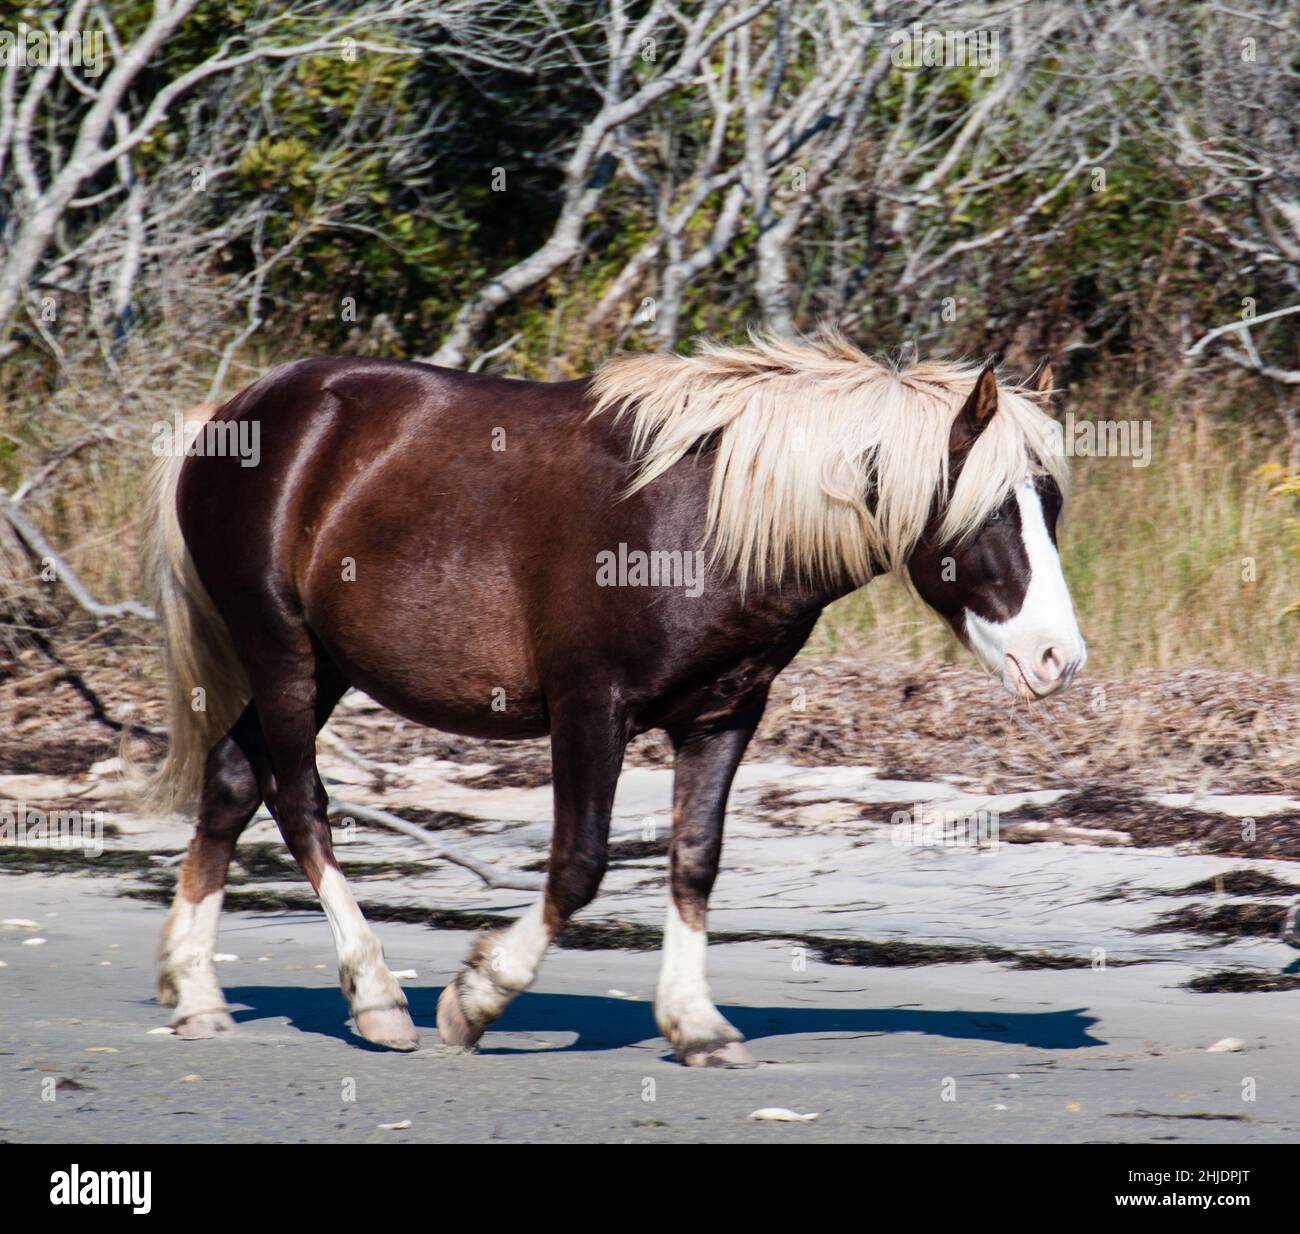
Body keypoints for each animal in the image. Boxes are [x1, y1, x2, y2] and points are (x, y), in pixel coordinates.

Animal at [145, 331, 1085, 1067]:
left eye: (1050, 505)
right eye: (989, 513)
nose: (1059, 659)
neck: (702, 521)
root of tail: (234, 414)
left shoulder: (723, 717)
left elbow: (694, 860)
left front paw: (695, 1021)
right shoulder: (590, 708)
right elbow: (580, 864)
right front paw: (477, 996)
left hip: (325, 666)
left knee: (230, 781)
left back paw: (196, 993)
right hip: (284, 654)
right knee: (298, 800)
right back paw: (375, 997)